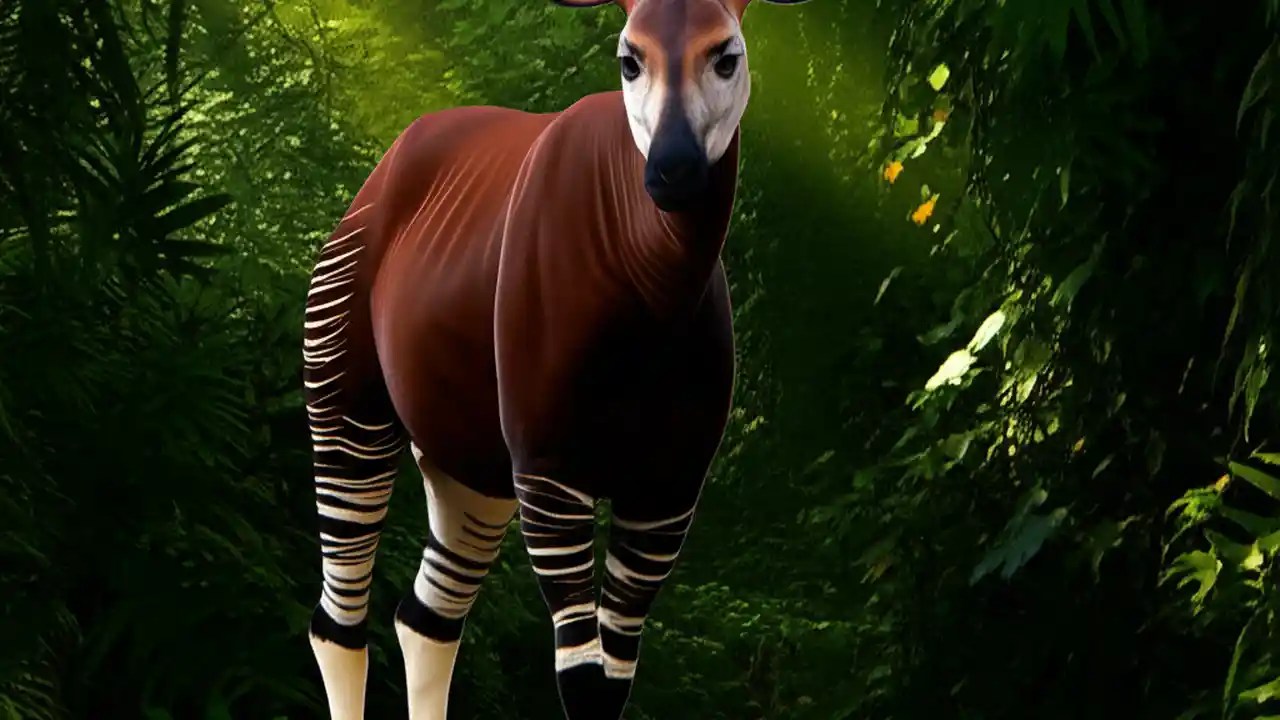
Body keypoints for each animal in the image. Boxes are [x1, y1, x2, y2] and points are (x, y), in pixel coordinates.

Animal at [301, 0, 807, 717]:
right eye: (629, 59)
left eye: (726, 55)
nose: (674, 169)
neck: (652, 287)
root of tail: (379, 176)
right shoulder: (550, 472)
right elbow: (583, 675)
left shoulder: (666, 491)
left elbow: (613, 673)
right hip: (349, 407)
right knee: (339, 617)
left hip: (473, 466)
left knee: (426, 617)